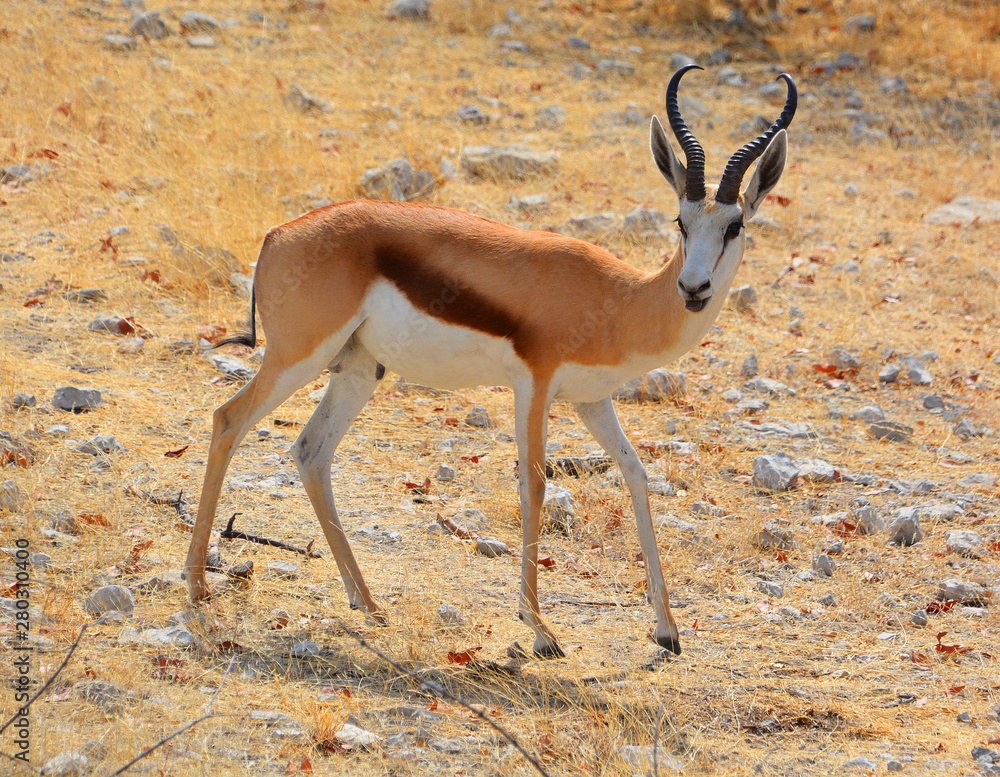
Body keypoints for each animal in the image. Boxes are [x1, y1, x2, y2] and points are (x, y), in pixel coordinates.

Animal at [183, 65, 796, 658]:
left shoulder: (591, 400)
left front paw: (666, 632)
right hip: (297, 357)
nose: (693, 288)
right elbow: (536, 485)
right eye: (680, 221)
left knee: (311, 451)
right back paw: (197, 586)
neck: (619, 299)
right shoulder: (534, 385)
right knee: (228, 420)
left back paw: (369, 604)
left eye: (734, 225)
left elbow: (637, 475)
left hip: (356, 371)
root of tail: (277, 234)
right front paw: (541, 630)